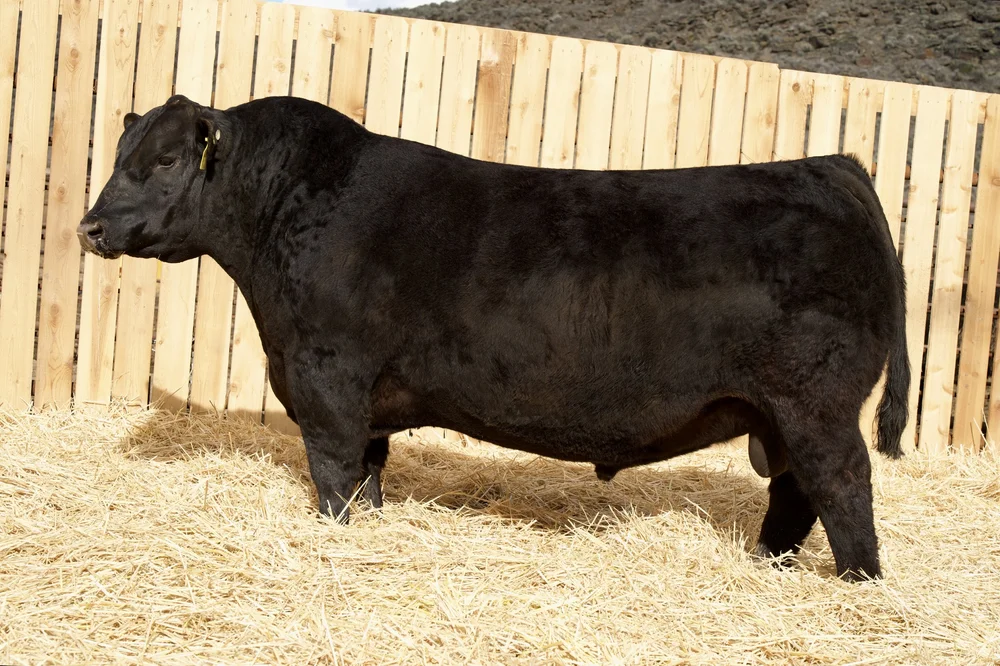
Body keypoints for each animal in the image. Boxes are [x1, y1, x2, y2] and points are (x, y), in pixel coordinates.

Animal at [78, 94, 909, 582]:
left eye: (162, 161)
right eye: (121, 157)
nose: (90, 228)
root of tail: (828, 165)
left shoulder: (327, 379)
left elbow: (335, 479)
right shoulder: (366, 402)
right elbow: (370, 480)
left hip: (816, 404)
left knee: (843, 486)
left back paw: (856, 585)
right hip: (781, 414)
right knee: (795, 494)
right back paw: (769, 568)